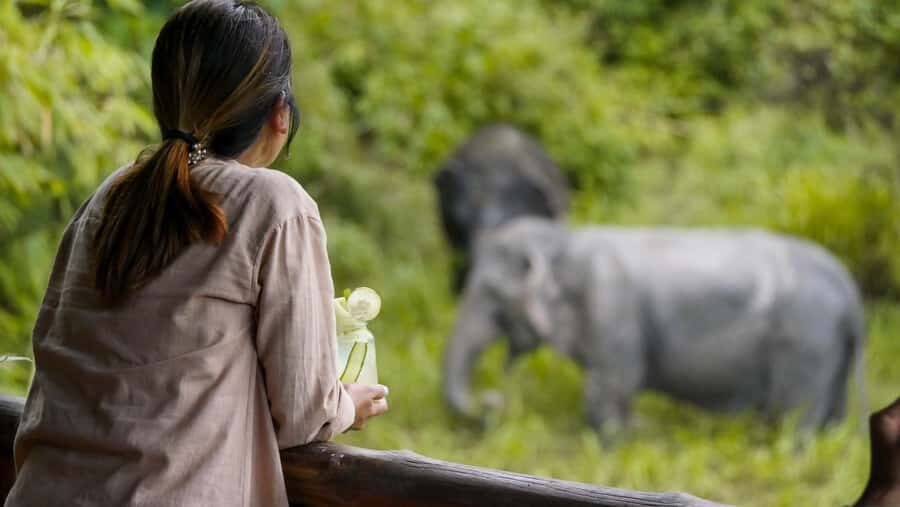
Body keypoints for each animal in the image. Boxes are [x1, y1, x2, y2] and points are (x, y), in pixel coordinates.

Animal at [443, 217, 866, 431]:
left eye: (490, 292)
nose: (494, 400)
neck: (563, 240)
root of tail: (850, 290)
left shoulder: (611, 307)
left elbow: (613, 386)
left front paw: (622, 438)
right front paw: (636, 431)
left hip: (805, 343)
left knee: (792, 420)